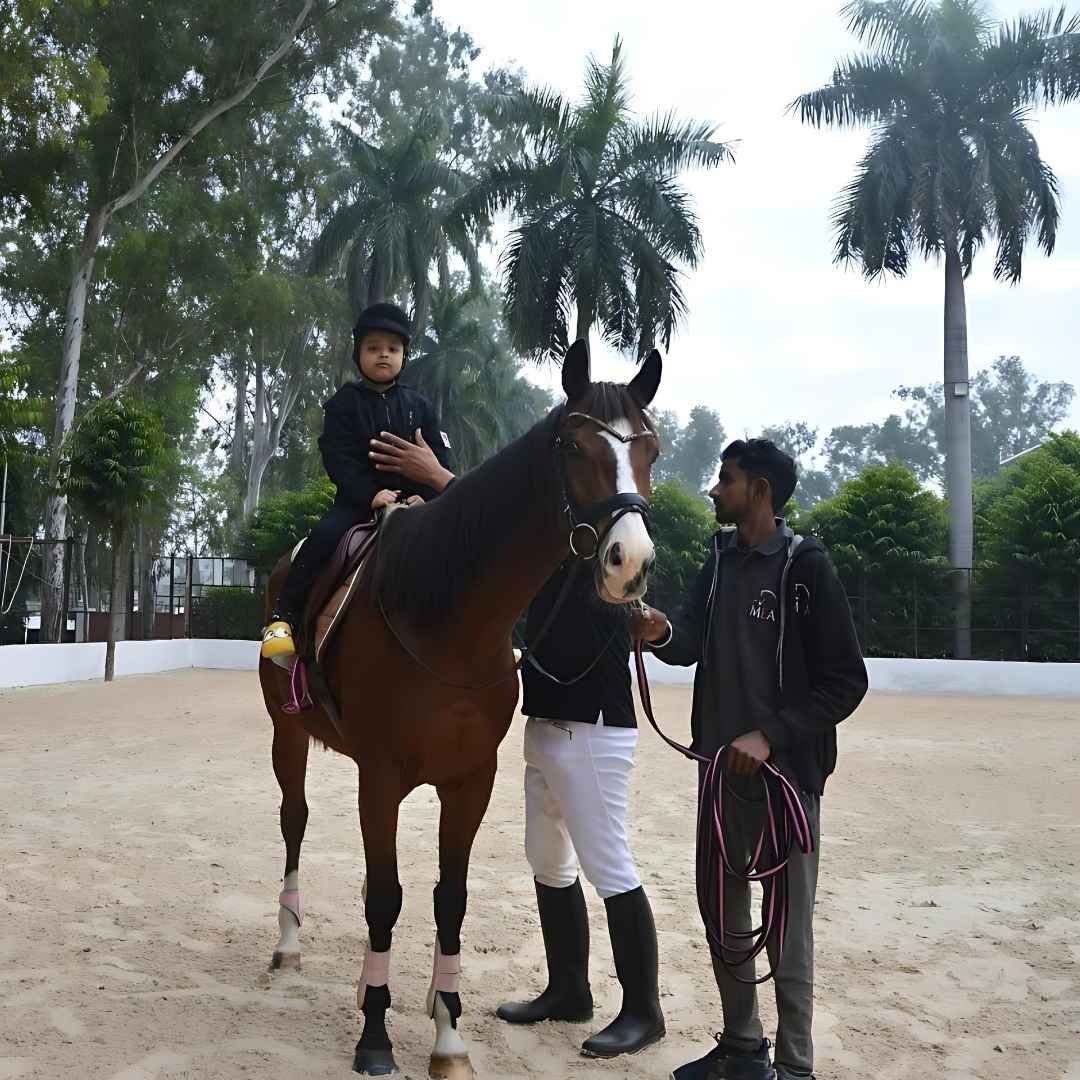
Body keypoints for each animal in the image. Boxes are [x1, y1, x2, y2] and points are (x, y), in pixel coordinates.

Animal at [258, 339, 663, 1077]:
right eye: (573, 447)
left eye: (651, 449)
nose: (630, 563)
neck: (445, 616)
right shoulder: (380, 778)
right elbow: (385, 896)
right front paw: (375, 1036)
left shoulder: (471, 780)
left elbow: (451, 899)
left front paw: (446, 1033)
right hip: (287, 734)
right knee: (294, 823)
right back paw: (288, 943)